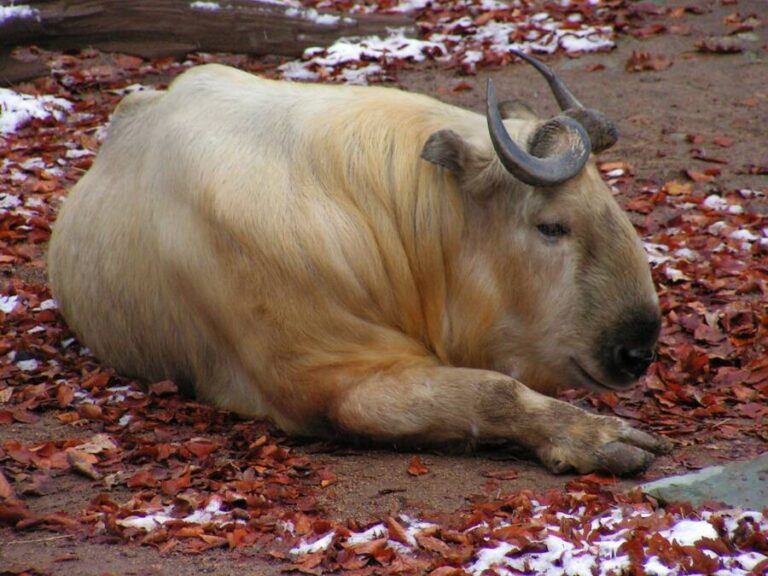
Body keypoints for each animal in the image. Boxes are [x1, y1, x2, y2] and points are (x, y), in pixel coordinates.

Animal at [48, 51, 670, 476]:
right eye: (551, 227)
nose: (636, 351)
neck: (383, 218)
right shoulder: (331, 381)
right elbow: (493, 391)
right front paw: (597, 437)